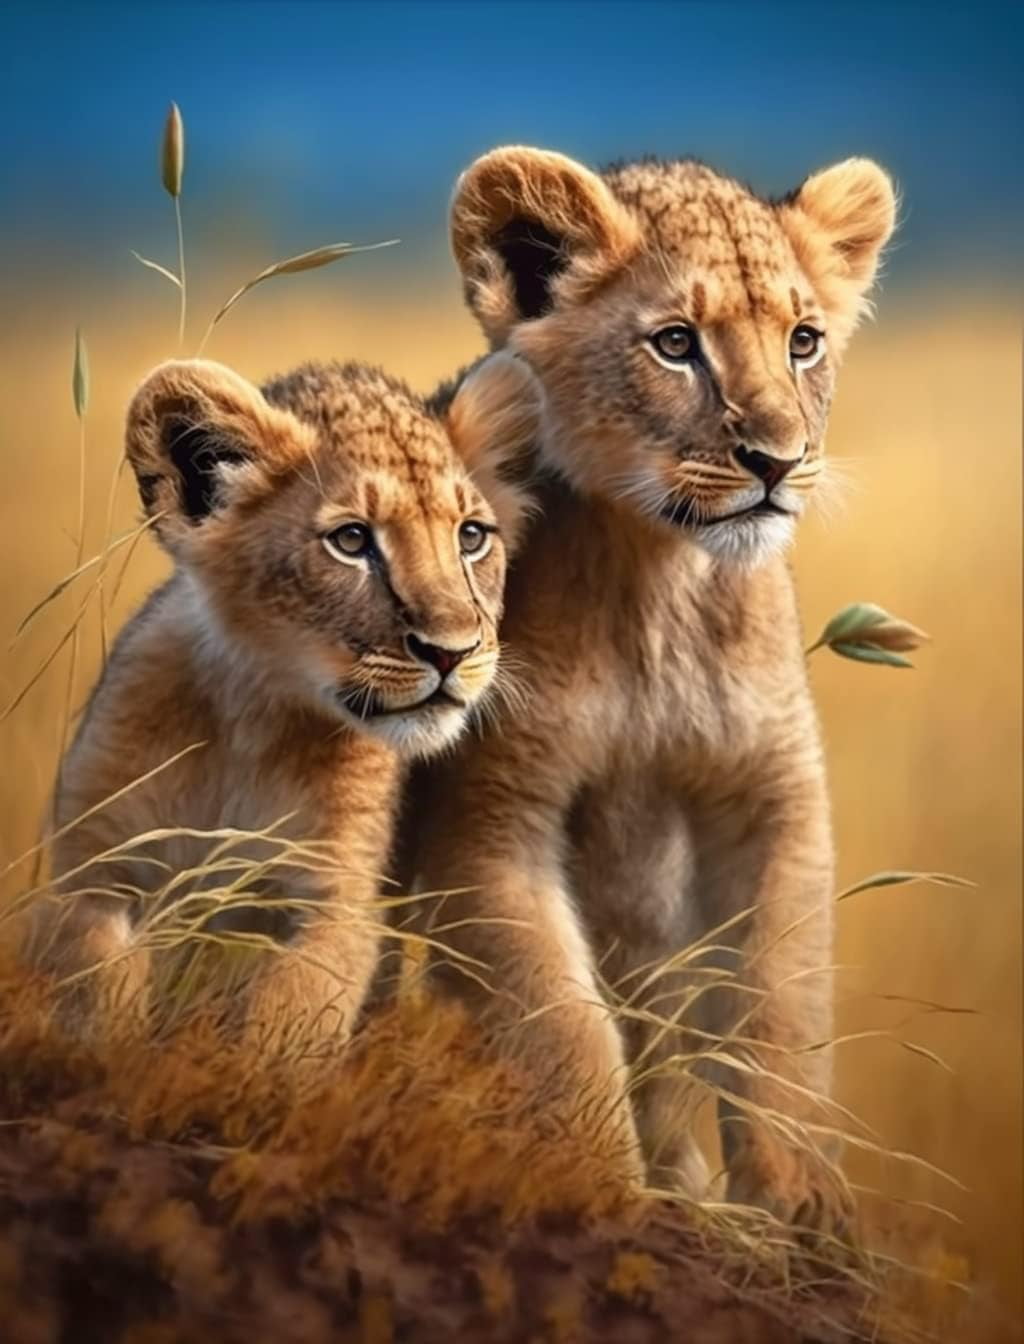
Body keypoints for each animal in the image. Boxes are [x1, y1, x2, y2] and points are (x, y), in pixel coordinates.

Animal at [28, 352, 542, 1043]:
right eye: (351, 541)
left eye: (471, 537)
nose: (452, 651)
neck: (255, 714)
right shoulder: (94, 866)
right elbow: (97, 988)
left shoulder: (341, 899)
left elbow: (282, 1022)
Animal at [403, 147, 896, 1227]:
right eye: (675, 344)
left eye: (802, 342)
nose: (776, 460)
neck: (661, 582)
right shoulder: (490, 813)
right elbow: (559, 1022)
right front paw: (600, 1188)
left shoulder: (773, 793)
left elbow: (776, 1003)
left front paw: (799, 1202)